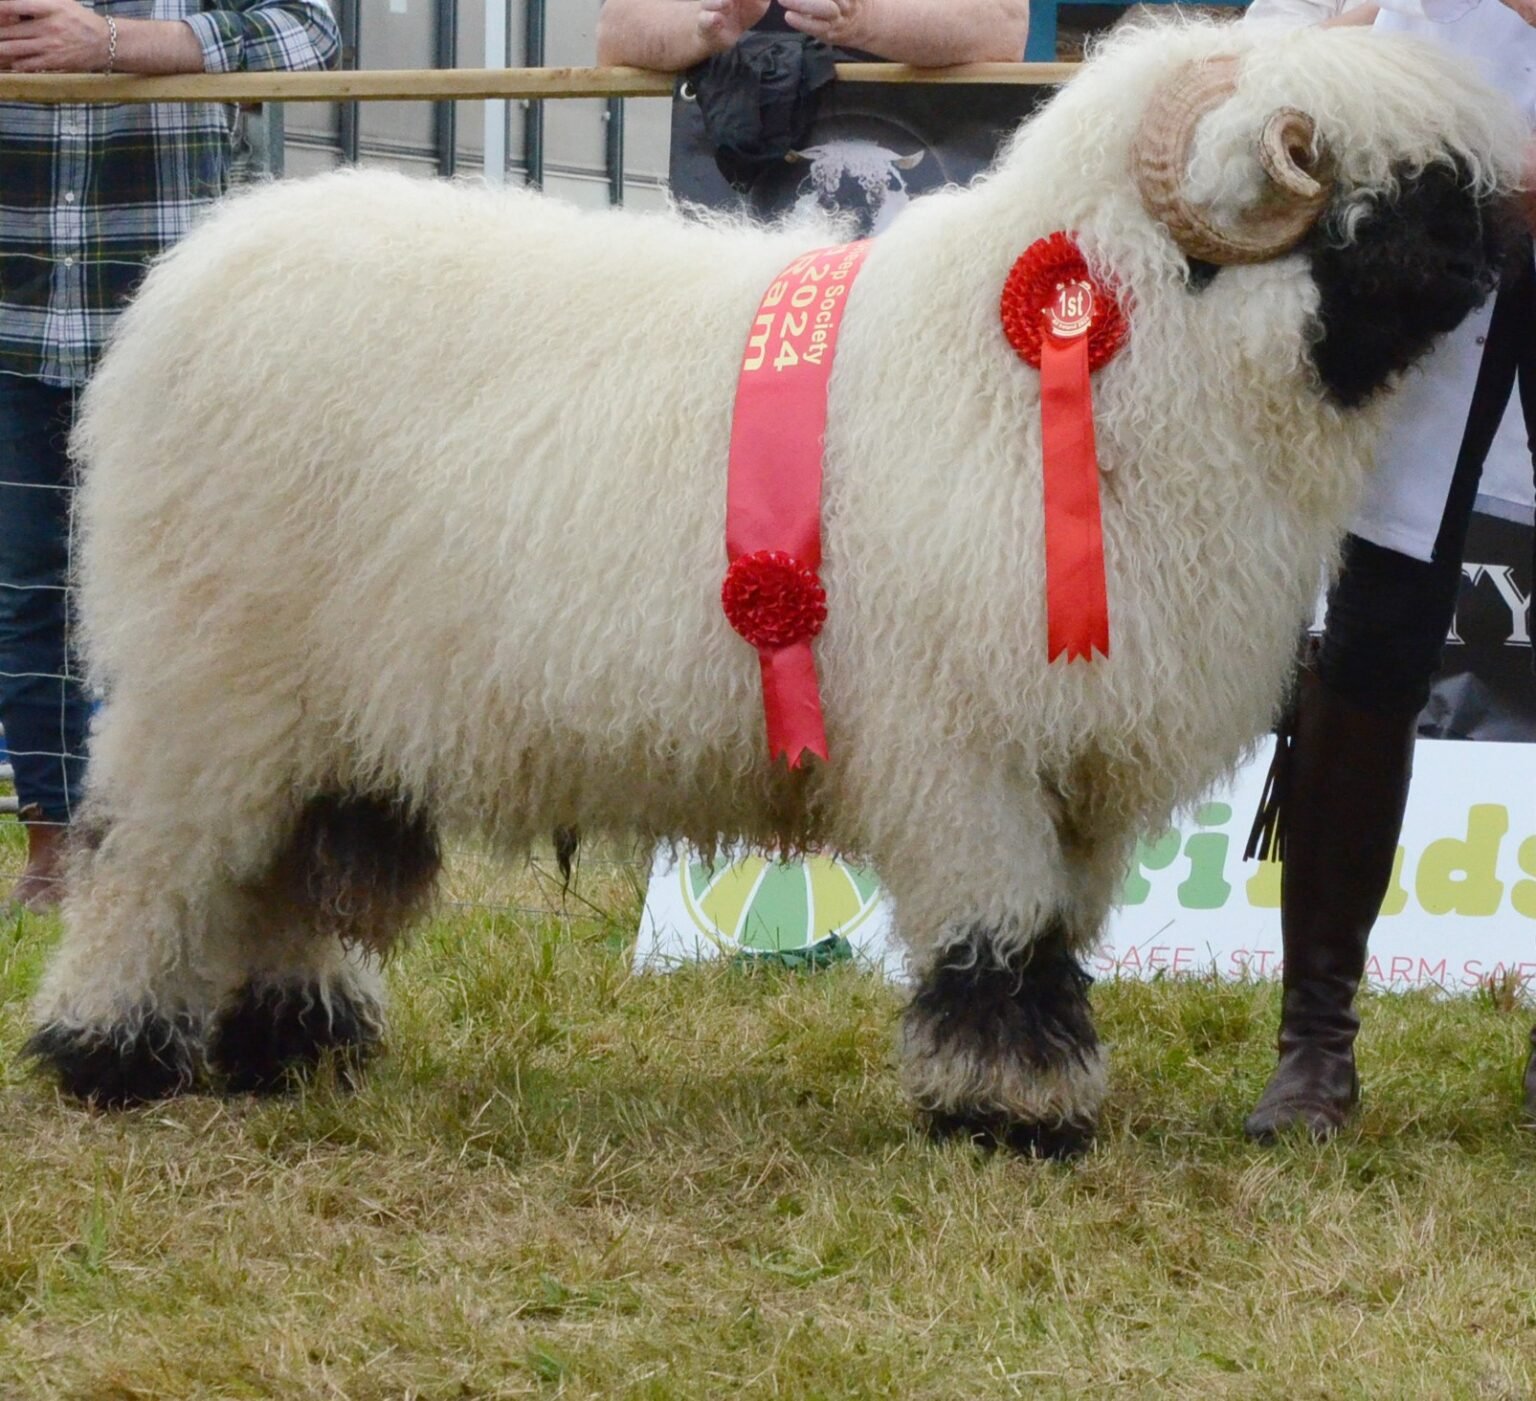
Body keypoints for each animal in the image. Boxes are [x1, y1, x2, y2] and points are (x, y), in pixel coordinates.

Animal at [26, 20, 1526, 1155]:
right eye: (1375, 193)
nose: (1491, 256)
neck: (1077, 363)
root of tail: (201, 262)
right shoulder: (963, 752)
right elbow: (999, 936)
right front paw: (1009, 1114)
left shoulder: (1080, 765)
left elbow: (1053, 933)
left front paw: (1034, 1093)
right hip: (206, 678)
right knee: (149, 867)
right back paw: (107, 1054)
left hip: (317, 710)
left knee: (272, 880)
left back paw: (294, 1049)